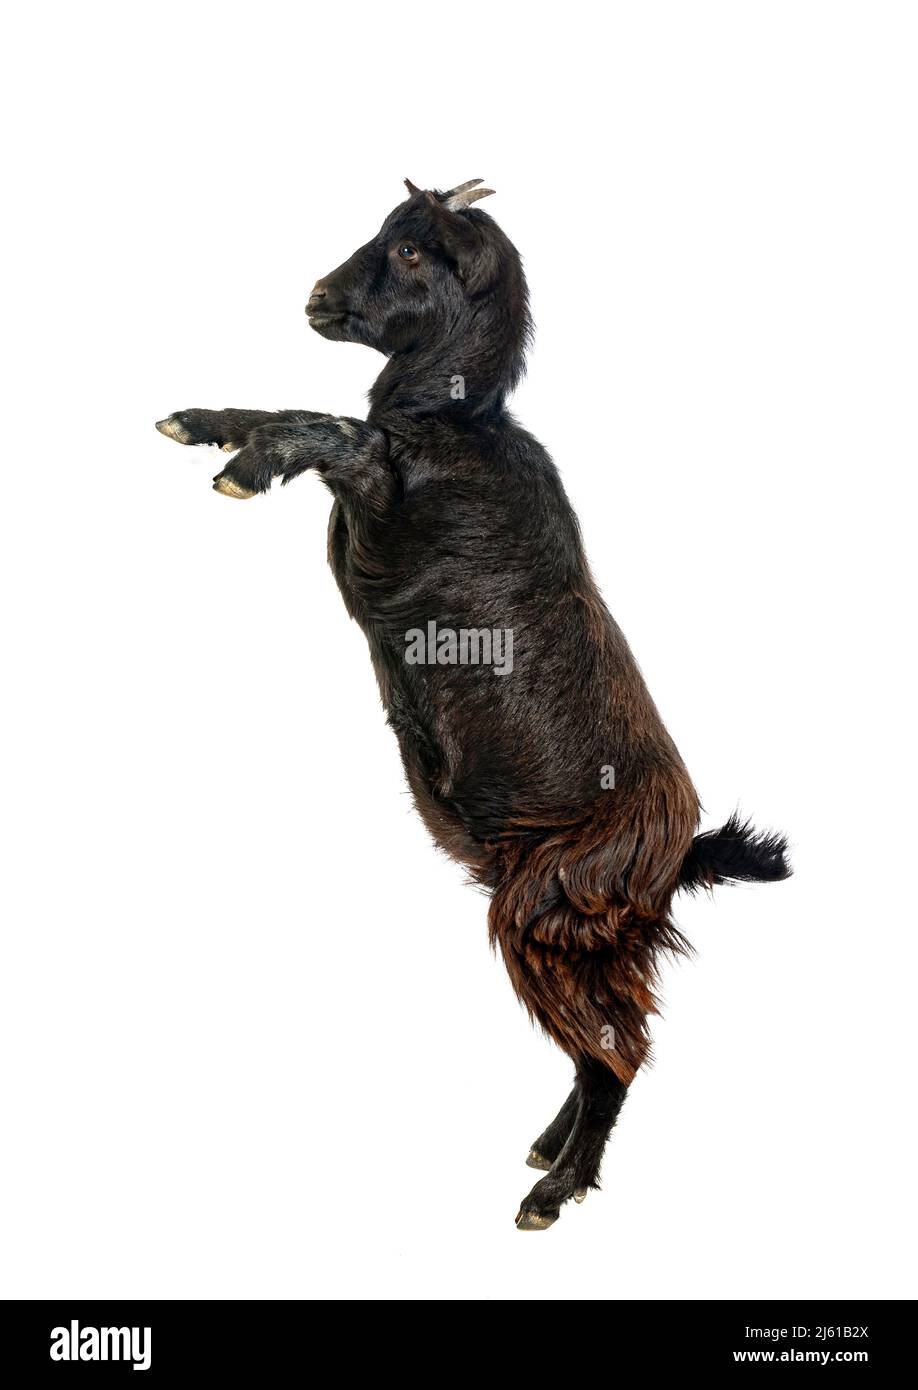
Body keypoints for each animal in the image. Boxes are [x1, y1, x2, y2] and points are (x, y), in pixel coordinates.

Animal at [156, 178, 791, 1230]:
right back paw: (549, 1150)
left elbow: (332, 427)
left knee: (617, 1054)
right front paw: (200, 420)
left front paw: (243, 466)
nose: (317, 298)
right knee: (606, 1047)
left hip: (544, 916)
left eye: (415, 251)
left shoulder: (383, 499)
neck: (456, 425)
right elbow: (304, 412)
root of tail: (674, 857)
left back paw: (554, 1190)